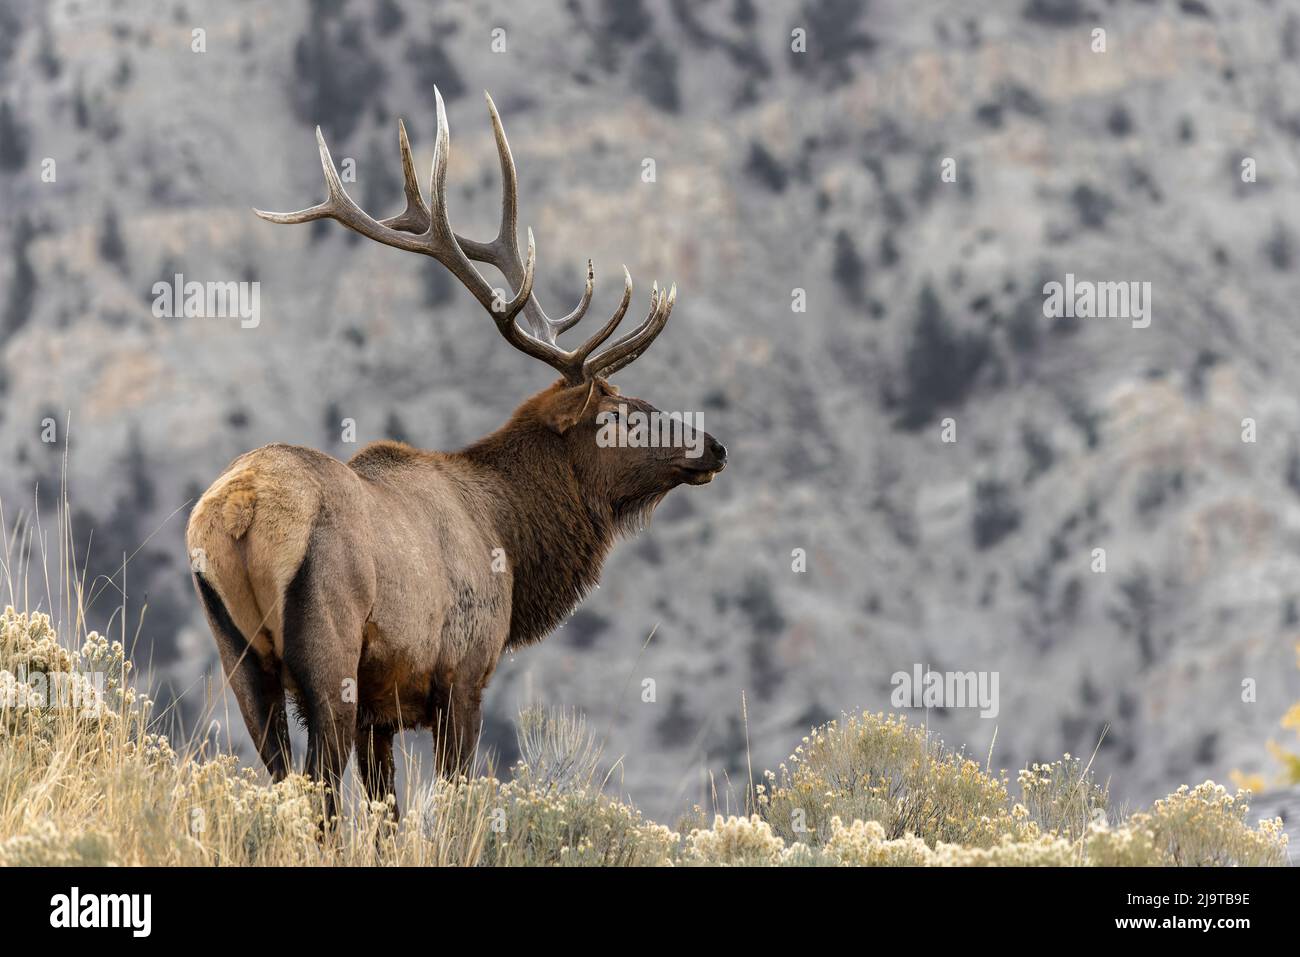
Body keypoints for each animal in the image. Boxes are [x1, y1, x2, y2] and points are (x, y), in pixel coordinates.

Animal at [186, 89, 726, 825]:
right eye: (617, 411)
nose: (714, 445)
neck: (510, 534)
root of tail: (239, 512)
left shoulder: (381, 710)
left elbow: (387, 816)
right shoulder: (462, 675)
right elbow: (454, 803)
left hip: (239, 659)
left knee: (280, 778)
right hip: (329, 655)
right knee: (319, 796)